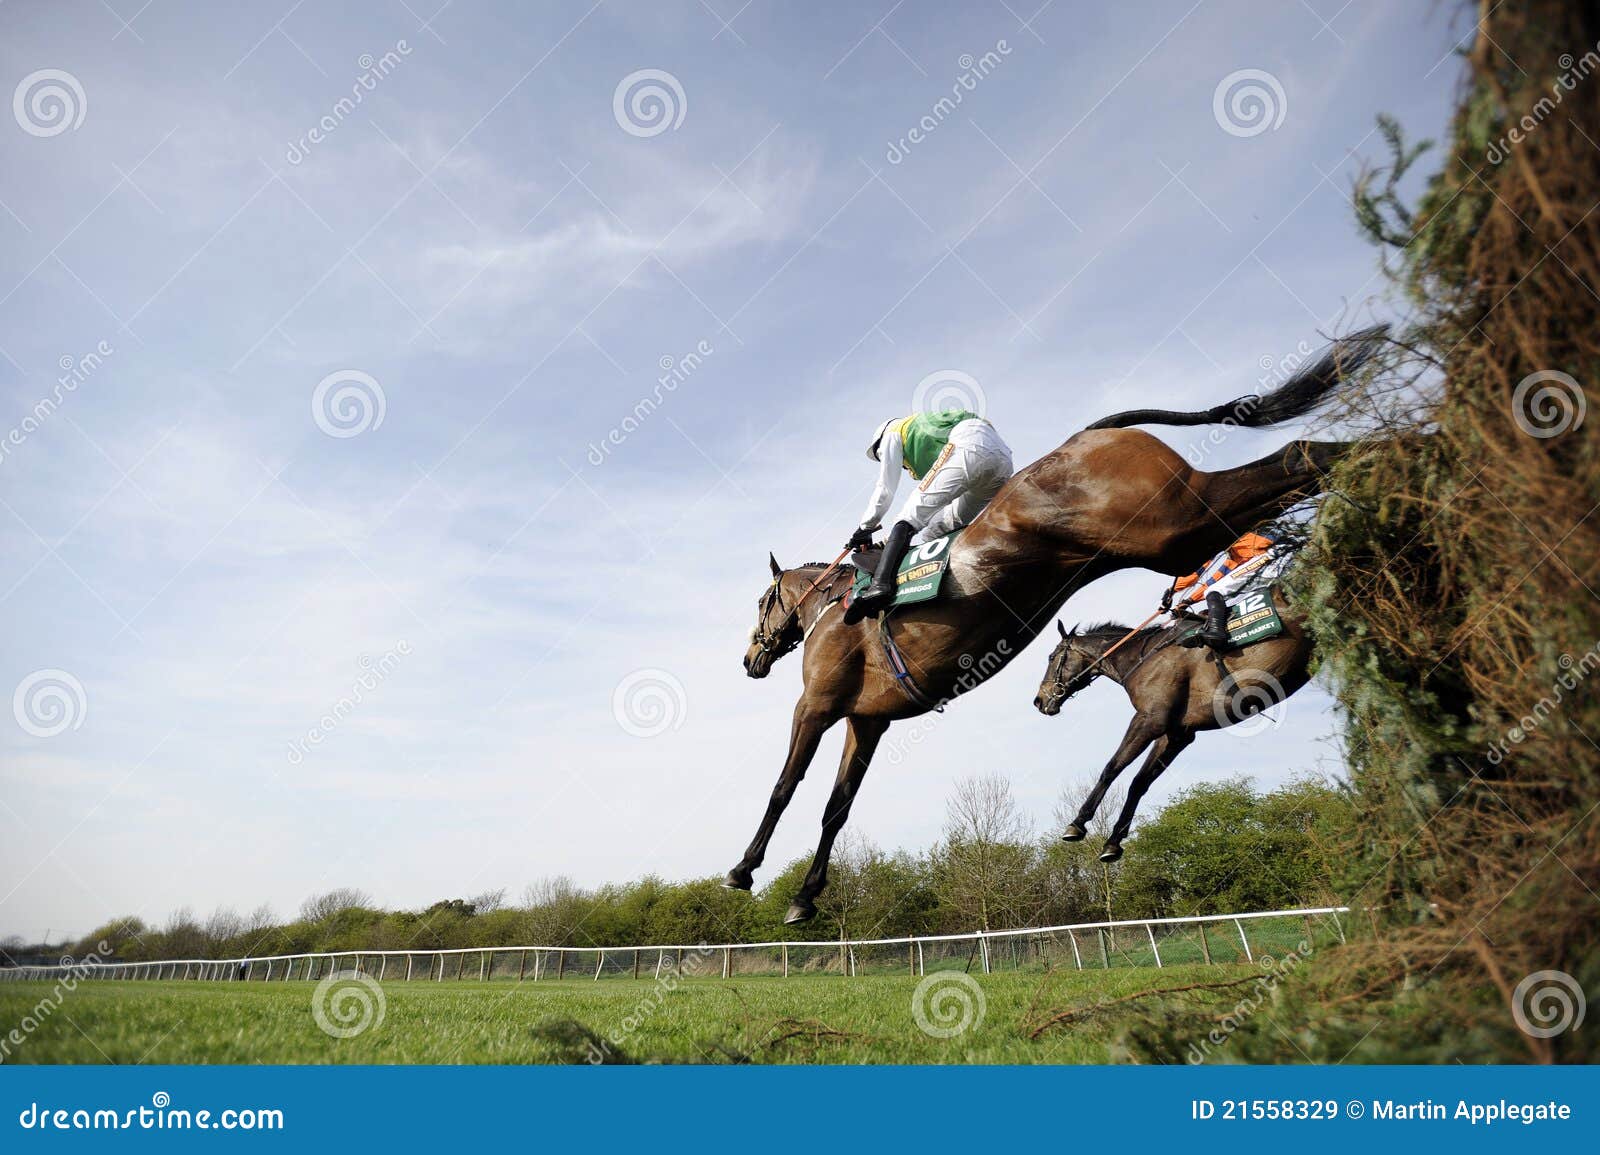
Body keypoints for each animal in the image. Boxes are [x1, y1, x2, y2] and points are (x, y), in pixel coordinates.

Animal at [1033, 595, 1315, 862]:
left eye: (1051, 657)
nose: (1039, 700)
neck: (1143, 657)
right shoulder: (1176, 734)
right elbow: (1139, 782)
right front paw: (1113, 842)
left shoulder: (1149, 720)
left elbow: (1111, 769)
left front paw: (1077, 823)